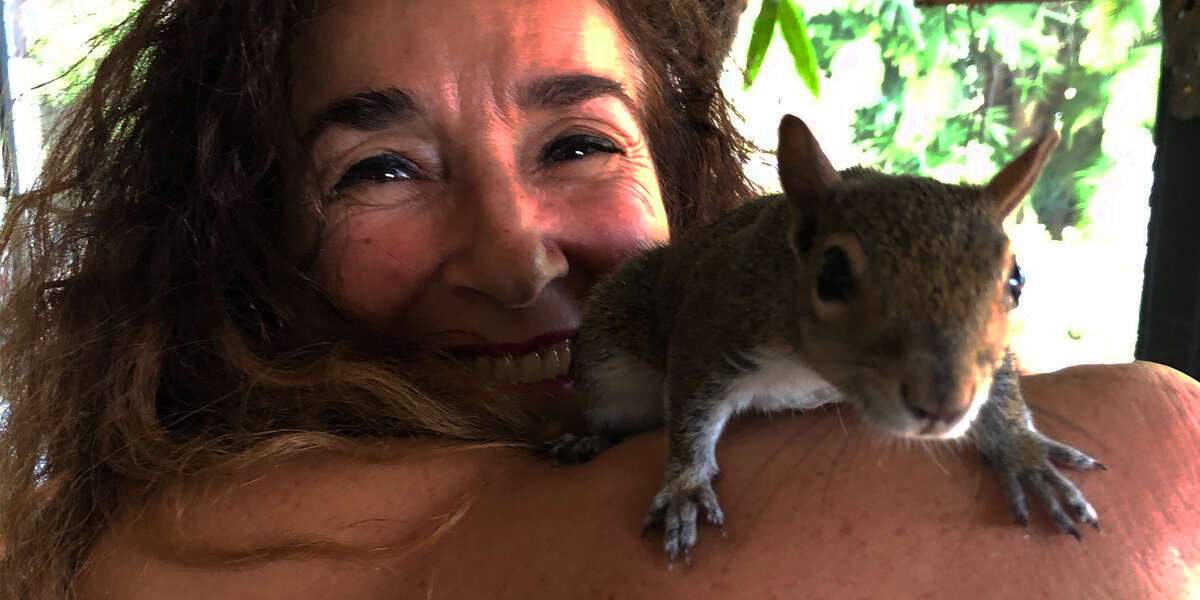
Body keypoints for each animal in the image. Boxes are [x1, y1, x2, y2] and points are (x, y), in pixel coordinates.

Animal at [553, 114, 1106, 563]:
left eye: (1017, 281)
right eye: (833, 274)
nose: (943, 405)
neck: (813, 368)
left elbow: (1002, 383)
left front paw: (1022, 452)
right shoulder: (713, 319)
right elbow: (691, 407)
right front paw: (685, 484)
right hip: (608, 364)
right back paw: (583, 441)